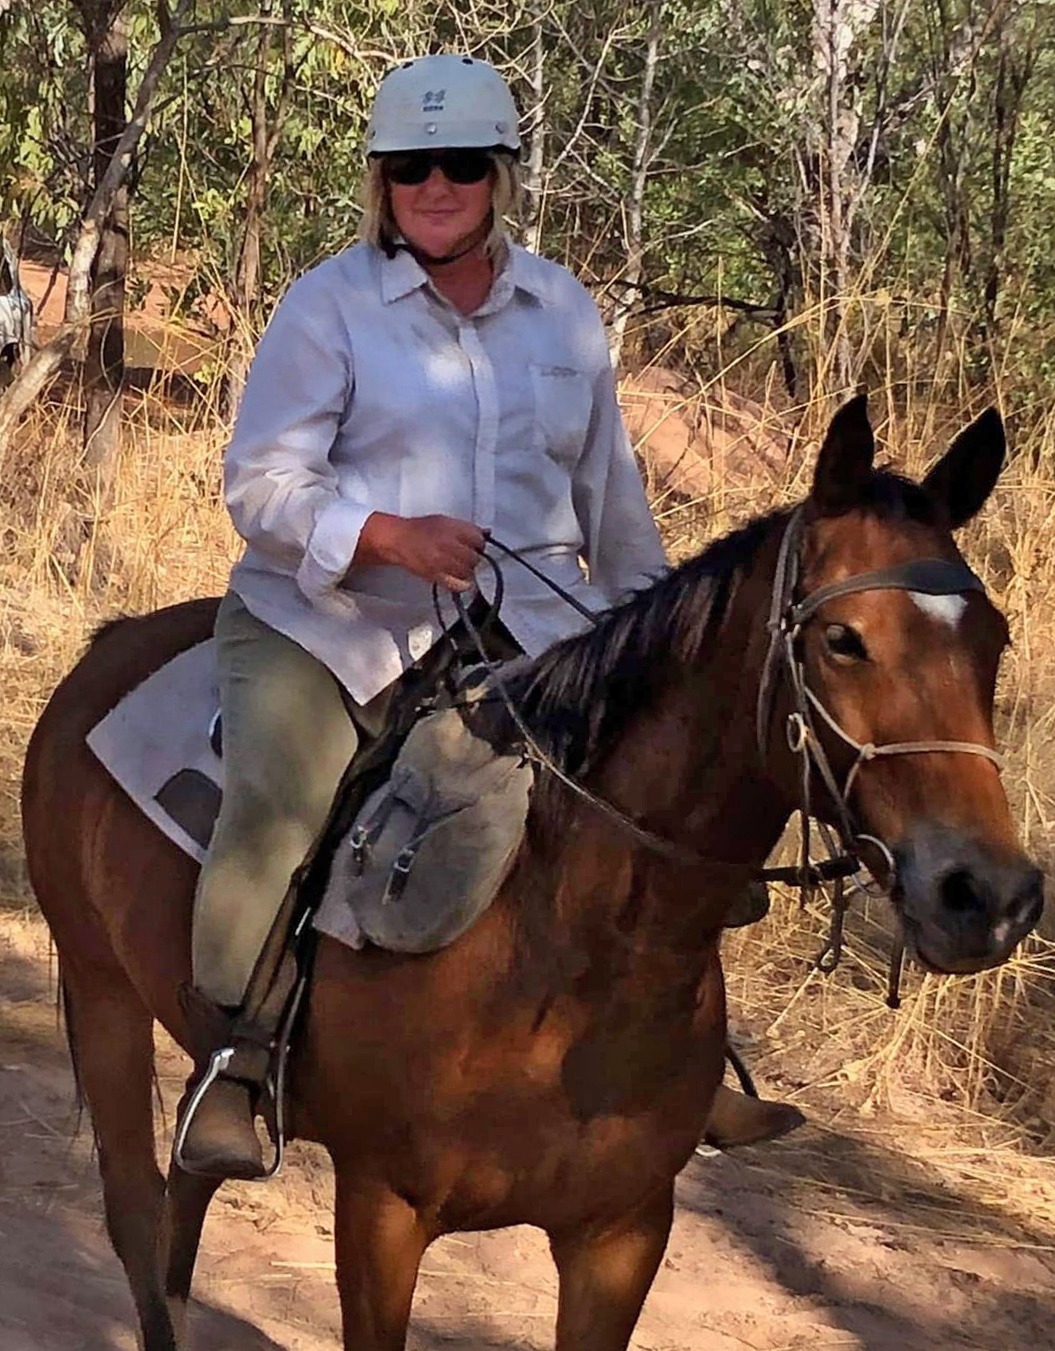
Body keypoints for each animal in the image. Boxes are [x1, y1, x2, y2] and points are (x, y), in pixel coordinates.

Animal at [20, 394, 1043, 1351]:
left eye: (993, 639)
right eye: (842, 639)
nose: (987, 895)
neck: (565, 950)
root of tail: (107, 648)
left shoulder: (620, 1236)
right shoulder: (382, 1213)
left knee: (183, 1204)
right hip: (103, 995)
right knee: (137, 1211)